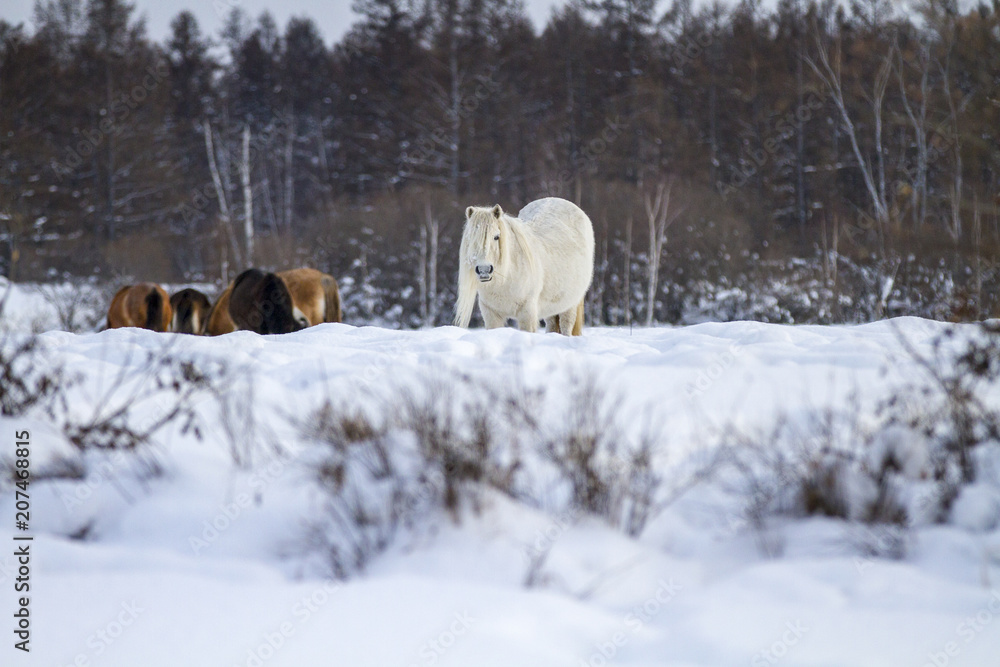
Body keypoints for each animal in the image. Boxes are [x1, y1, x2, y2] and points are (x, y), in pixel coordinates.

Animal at [455, 197, 594, 335]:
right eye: (470, 238)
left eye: (496, 237)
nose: (484, 270)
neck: (505, 278)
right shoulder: (491, 313)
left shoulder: (527, 313)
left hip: (570, 304)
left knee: (566, 326)